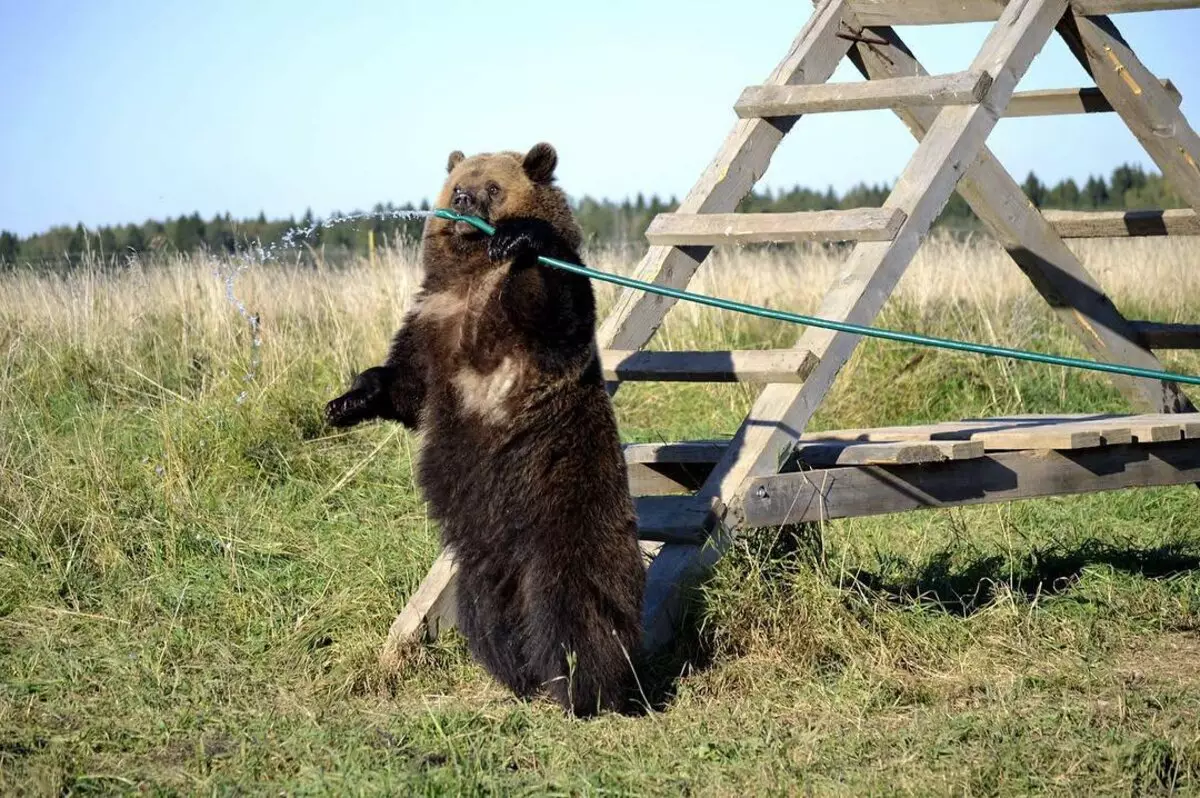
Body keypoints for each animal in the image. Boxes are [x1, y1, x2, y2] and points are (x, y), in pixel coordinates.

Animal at [326, 143, 648, 715]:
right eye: (458, 183)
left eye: (492, 187)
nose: (463, 200)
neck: (472, 272)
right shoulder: (432, 319)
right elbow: (405, 384)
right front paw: (347, 400)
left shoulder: (522, 322)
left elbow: (557, 304)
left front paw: (522, 239)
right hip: (478, 559)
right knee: (487, 615)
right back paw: (518, 676)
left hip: (564, 509)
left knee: (577, 607)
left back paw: (585, 688)